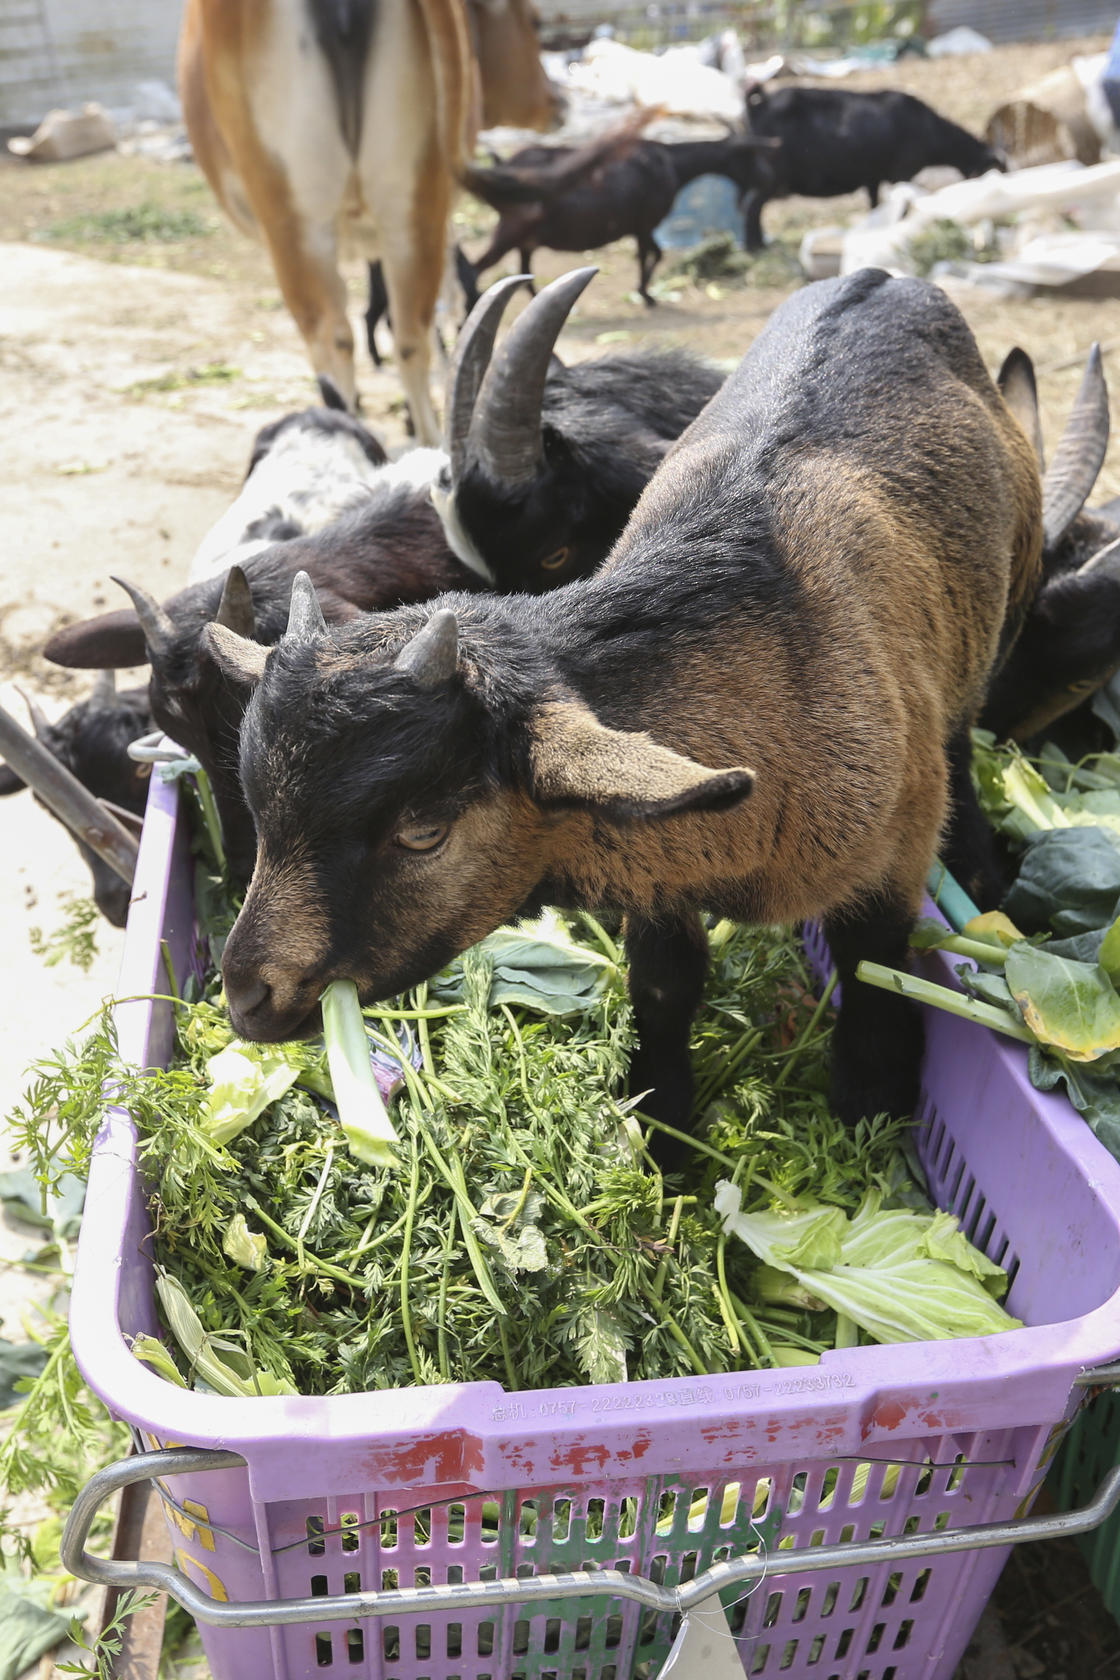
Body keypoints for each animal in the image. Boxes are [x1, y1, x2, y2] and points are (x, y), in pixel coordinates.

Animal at [206, 267, 1043, 1156]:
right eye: (259, 810)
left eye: (423, 832)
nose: (247, 997)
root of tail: (883, 278)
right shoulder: (664, 875)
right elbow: (664, 987)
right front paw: (665, 1131)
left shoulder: (889, 862)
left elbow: (872, 980)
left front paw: (867, 1114)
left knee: (964, 739)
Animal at [463, 115, 776, 303]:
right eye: (749, 156)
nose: (768, 179)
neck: (670, 163)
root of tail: (501, 166)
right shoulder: (646, 223)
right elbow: (652, 254)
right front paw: (646, 295)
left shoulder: (640, 227)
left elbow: (651, 254)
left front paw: (644, 292)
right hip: (509, 231)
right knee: (475, 270)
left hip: (525, 240)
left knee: (523, 276)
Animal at [741, 84, 1005, 253]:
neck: (930, 128)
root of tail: (759, 105)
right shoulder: (903, 172)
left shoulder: (873, 177)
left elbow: (875, 204)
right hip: (771, 176)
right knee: (752, 208)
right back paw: (756, 247)